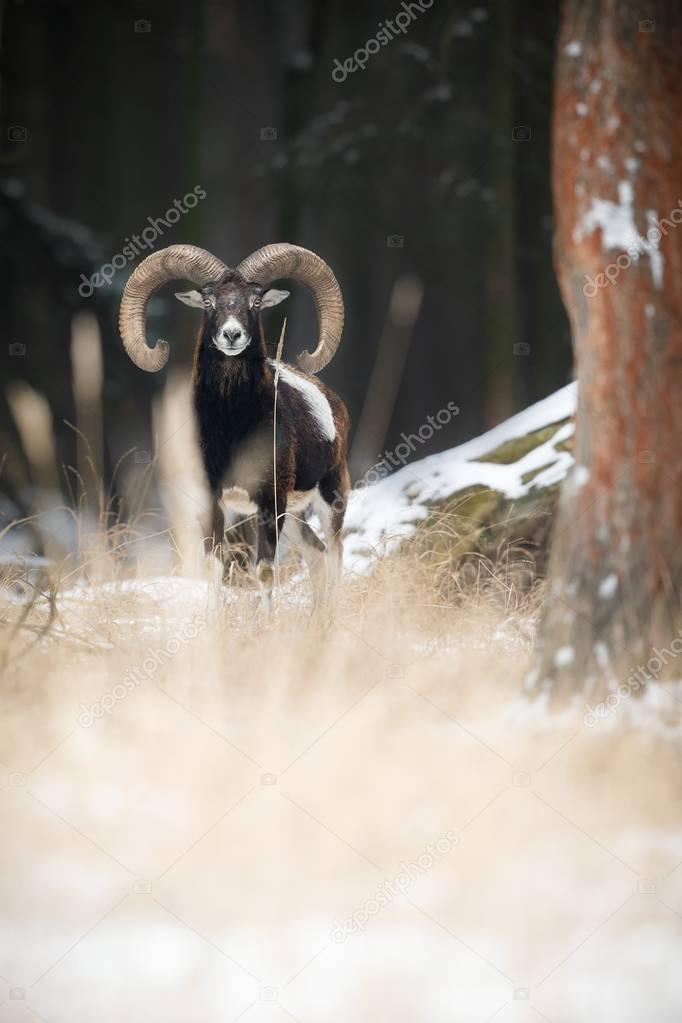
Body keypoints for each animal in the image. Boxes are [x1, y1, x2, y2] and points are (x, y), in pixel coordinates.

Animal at [118, 243, 350, 610]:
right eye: (208, 301)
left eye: (254, 302)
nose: (231, 334)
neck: (232, 428)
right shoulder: (213, 502)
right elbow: (214, 568)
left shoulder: (270, 502)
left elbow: (264, 571)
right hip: (295, 517)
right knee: (317, 555)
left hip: (330, 498)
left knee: (335, 554)